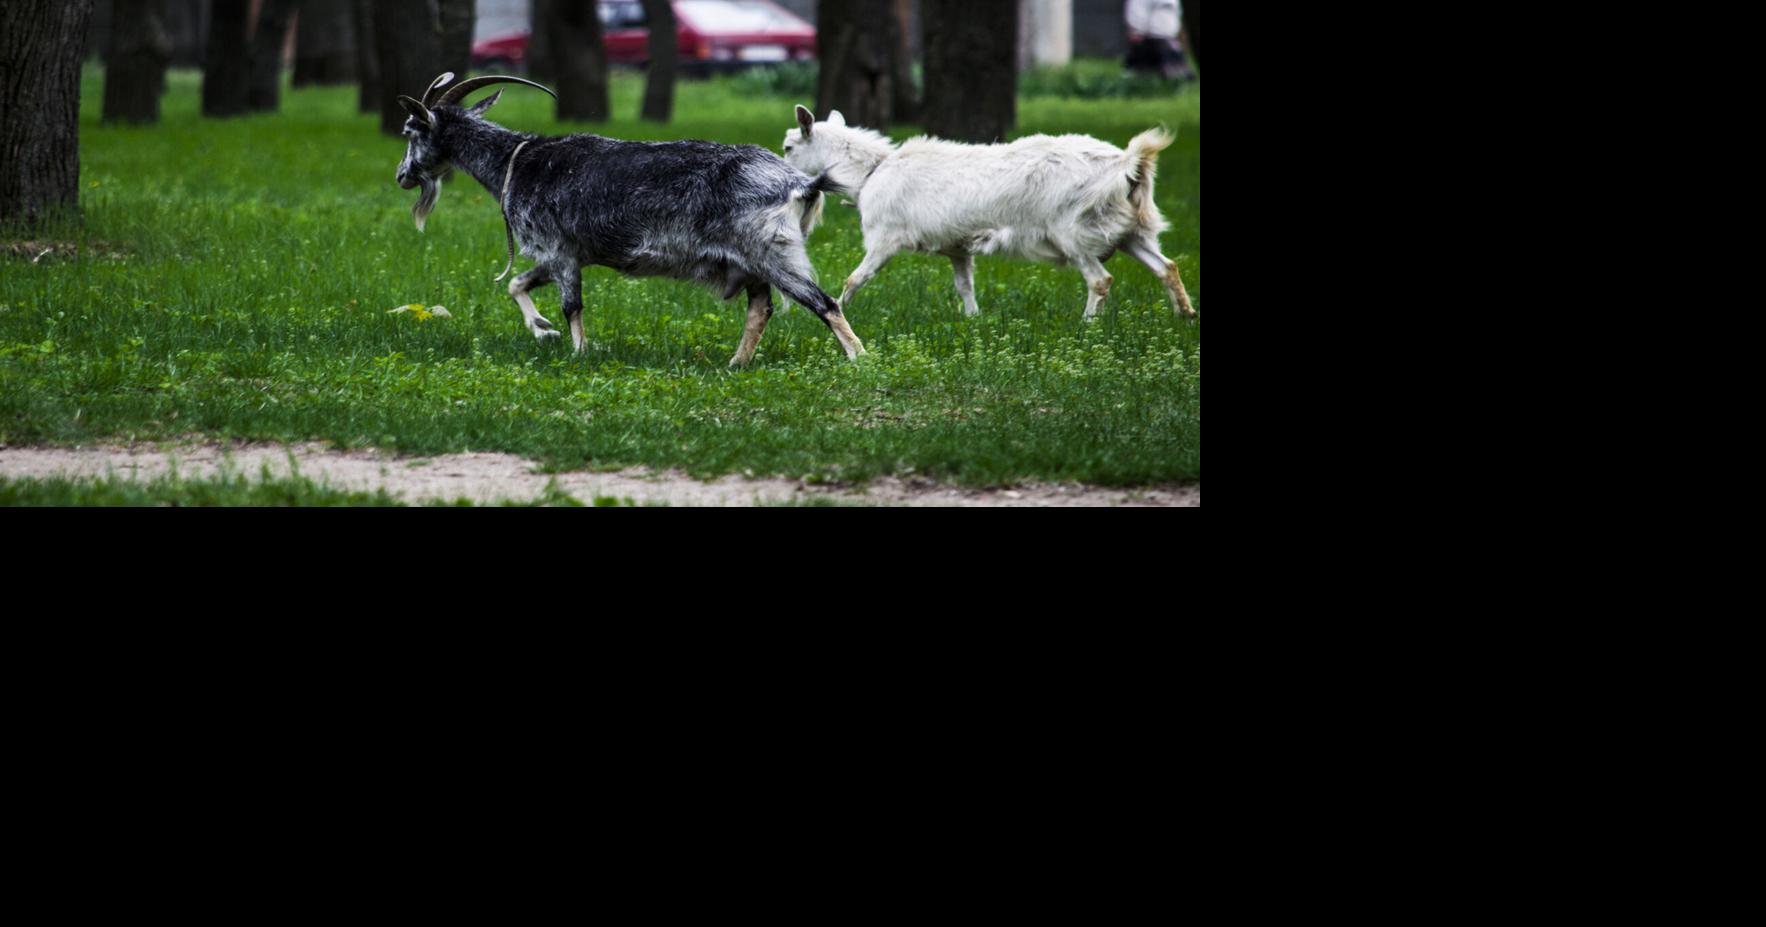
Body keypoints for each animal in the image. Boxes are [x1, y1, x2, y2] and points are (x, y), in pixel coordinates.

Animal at [393, 74, 864, 365]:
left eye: (410, 131)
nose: (401, 176)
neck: (516, 162)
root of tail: (800, 182)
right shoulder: (564, 255)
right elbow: (516, 284)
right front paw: (542, 330)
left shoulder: (560, 251)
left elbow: (571, 305)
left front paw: (578, 353)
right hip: (749, 262)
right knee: (760, 309)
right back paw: (736, 362)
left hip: (771, 252)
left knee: (823, 302)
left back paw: (858, 358)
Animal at [781, 106, 1195, 321]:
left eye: (788, 146)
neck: (871, 173)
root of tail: (1128, 164)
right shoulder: (957, 247)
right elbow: (965, 285)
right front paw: (972, 318)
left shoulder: (885, 238)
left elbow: (855, 278)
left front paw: (837, 309)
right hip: (1131, 230)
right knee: (1166, 266)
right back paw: (1186, 315)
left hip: (1072, 231)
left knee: (1100, 279)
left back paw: (1087, 323)